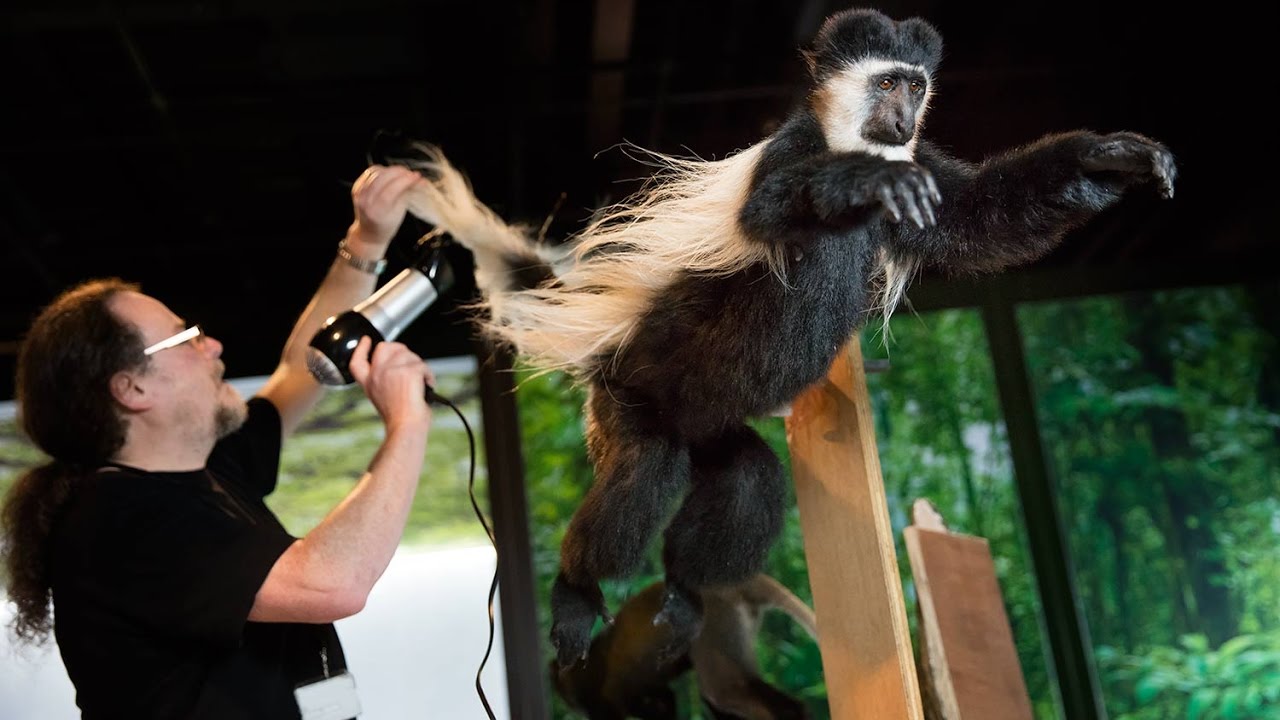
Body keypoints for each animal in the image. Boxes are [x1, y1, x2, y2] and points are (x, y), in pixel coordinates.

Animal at [404, 7, 1177, 667]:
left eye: (916, 84)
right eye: (886, 82)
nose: (902, 116)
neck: (853, 141)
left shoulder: (924, 169)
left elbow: (988, 214)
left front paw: (1109, 157)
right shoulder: (794, 149)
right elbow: (773, 208)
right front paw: (856, 185)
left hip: (711, 430)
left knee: (749, 482)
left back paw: (685, 589)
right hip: (628, 396)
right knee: (645, 471)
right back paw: (574, 590)